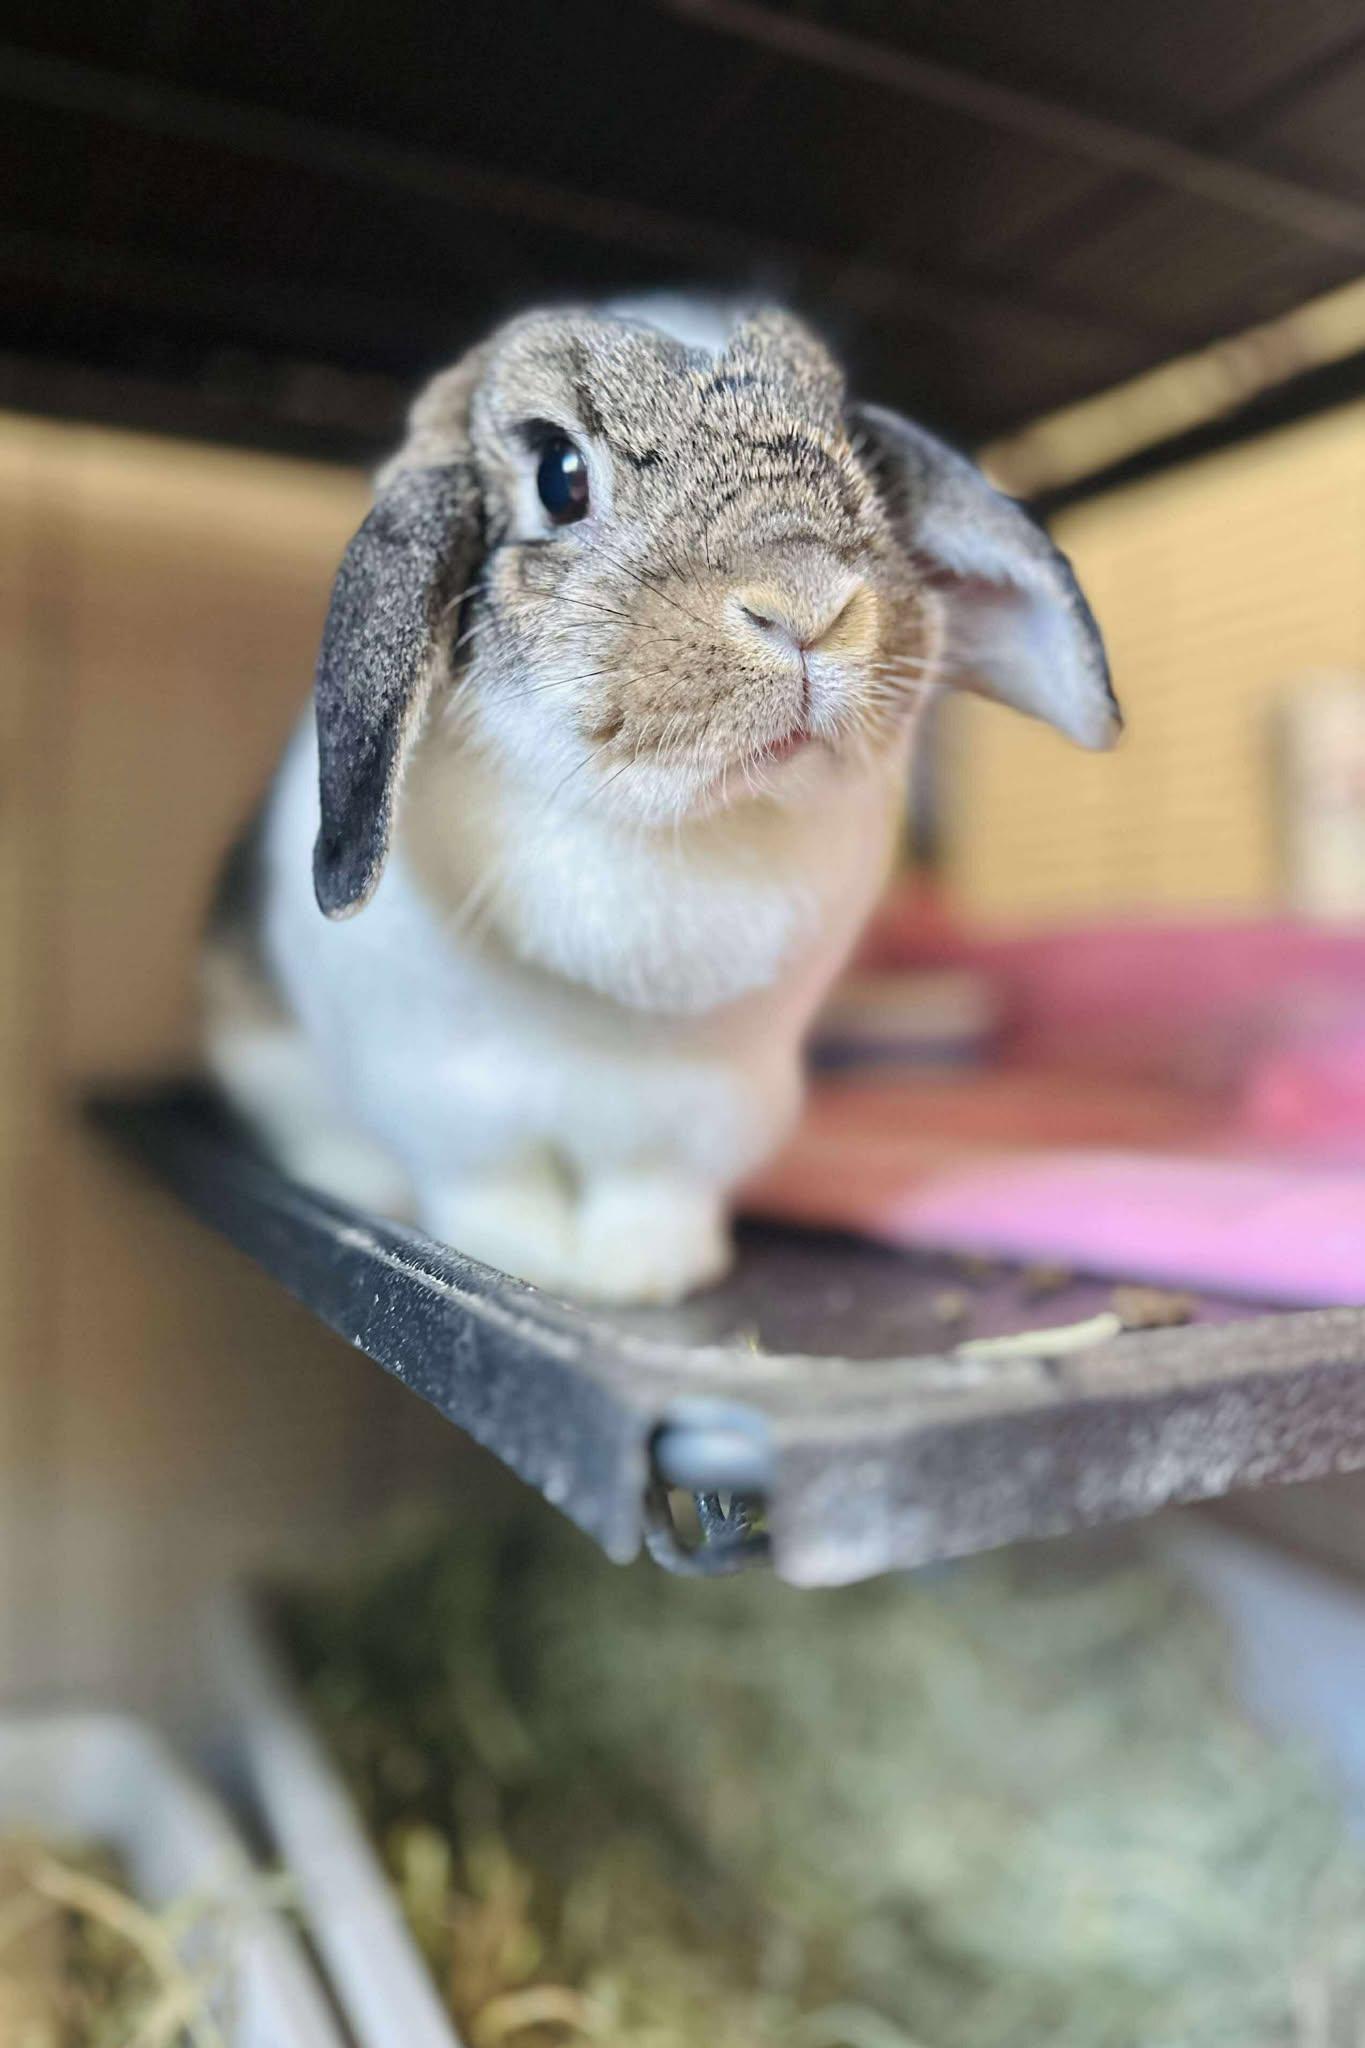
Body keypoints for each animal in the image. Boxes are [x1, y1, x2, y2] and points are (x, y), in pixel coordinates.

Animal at [202, 300, 1118, 1305]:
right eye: (558, 476)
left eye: (855, 455)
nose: (808, 604)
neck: (681, 823)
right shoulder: (450, 1103)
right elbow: (494, 1185)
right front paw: (524, 1257)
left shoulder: (702, 1115)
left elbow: (654, 1188)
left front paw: (647, 1273)